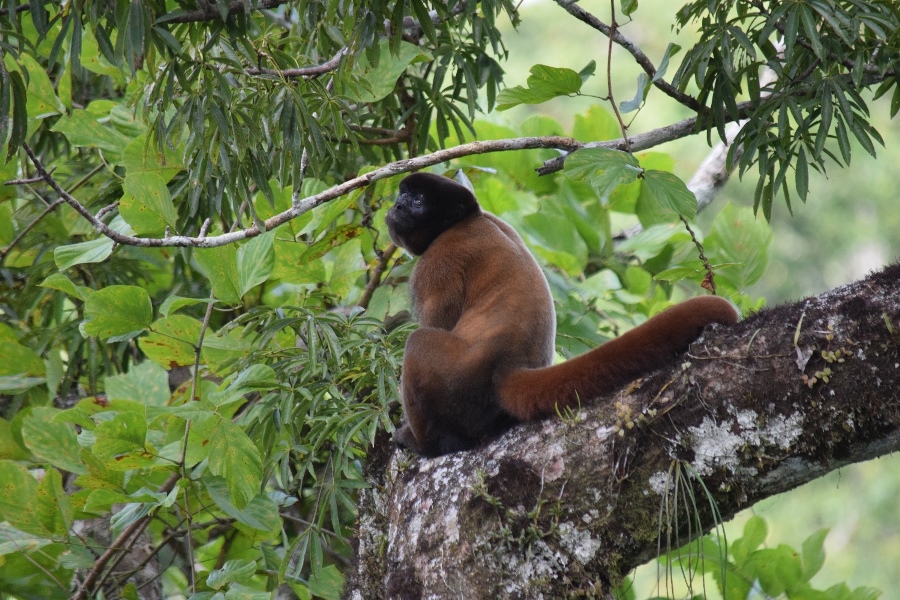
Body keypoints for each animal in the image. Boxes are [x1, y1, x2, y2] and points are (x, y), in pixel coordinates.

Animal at [385, 172, 739, 457]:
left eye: (417, 201)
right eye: (401, 195)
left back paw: (425, 444)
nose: (398, 205)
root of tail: (509, 366)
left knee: (419, 342)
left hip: (458, 377)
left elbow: (439, 322)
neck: (464, 221)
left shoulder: (438, 262)